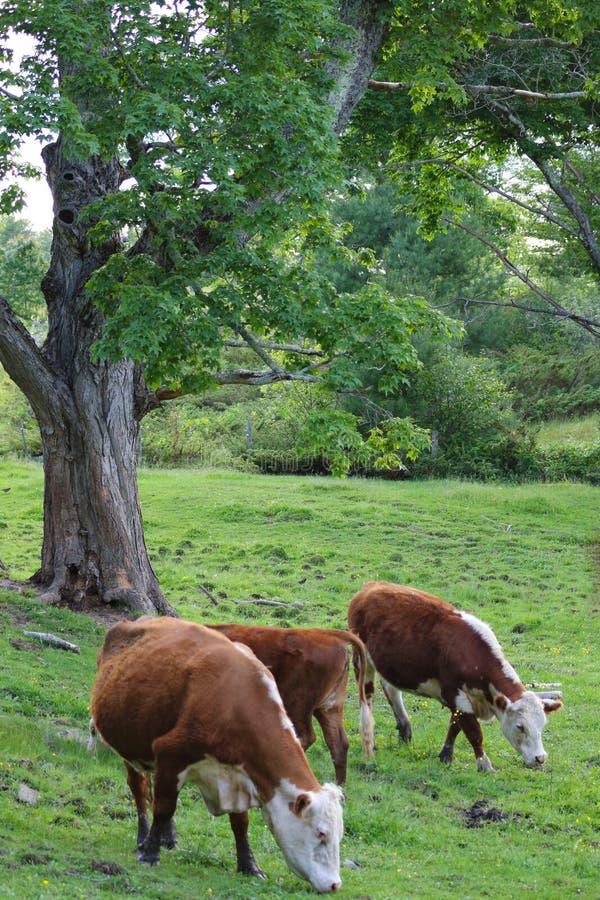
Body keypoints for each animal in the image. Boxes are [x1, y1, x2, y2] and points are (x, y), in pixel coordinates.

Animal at [90, 617, 344, 893]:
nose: (335, 884)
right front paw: (149, 854)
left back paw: (169, 837)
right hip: (130, 749)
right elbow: (164, 807)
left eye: (339, 836)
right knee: (140, 790)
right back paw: (143, 838)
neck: (234, 703)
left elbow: (240, 823)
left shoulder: (239, 776)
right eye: (321, 833)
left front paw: (249, 866)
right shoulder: (170, 754)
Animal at [348, 581, 563, 772]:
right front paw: (484, 765)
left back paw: (404, 729)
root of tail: (371, 586)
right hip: (361, 659)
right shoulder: (454, 693)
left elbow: (455, 726)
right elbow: (474, 731)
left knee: (391, 690)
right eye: (520, 726)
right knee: (367, 695)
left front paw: (445, 755)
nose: (540, 757)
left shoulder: (461, 700)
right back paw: (370, 737)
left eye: (543, 724)